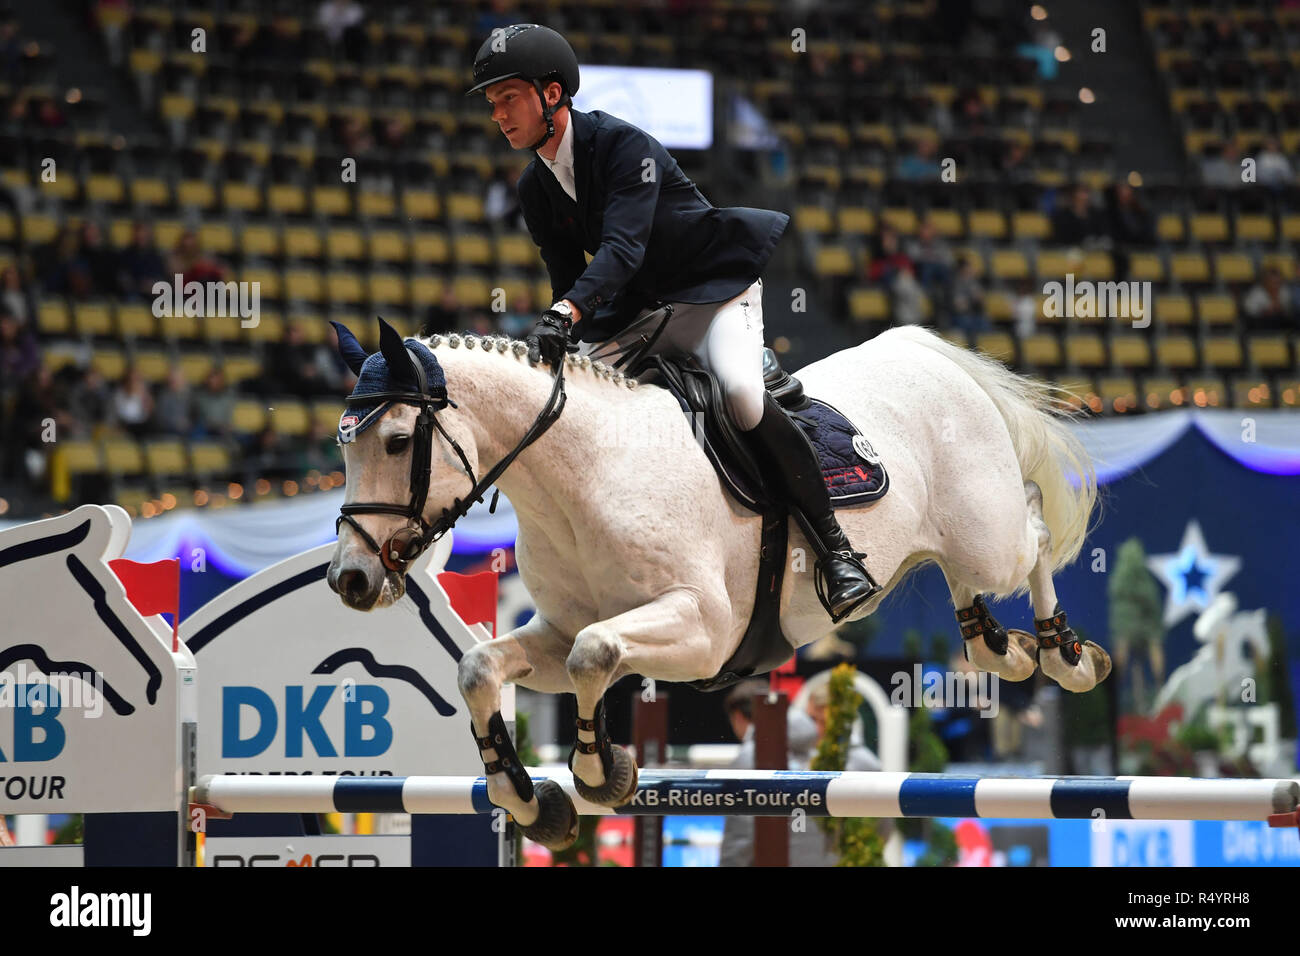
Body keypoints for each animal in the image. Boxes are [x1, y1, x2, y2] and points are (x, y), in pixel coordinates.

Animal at [325, 318, 1109, 849]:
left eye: (397, 441)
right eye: (344, 443)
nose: (351, 580)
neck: (583, 477)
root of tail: (924, 351)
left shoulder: (700, 633)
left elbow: (593, 655)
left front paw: (599, 770)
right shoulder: (554, 630)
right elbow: (482, 666)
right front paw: (527, 800)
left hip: (990, 531)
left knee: (1034, 530)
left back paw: (1064, 654)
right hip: (956, 540)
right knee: (966, 578)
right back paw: (995, 646)